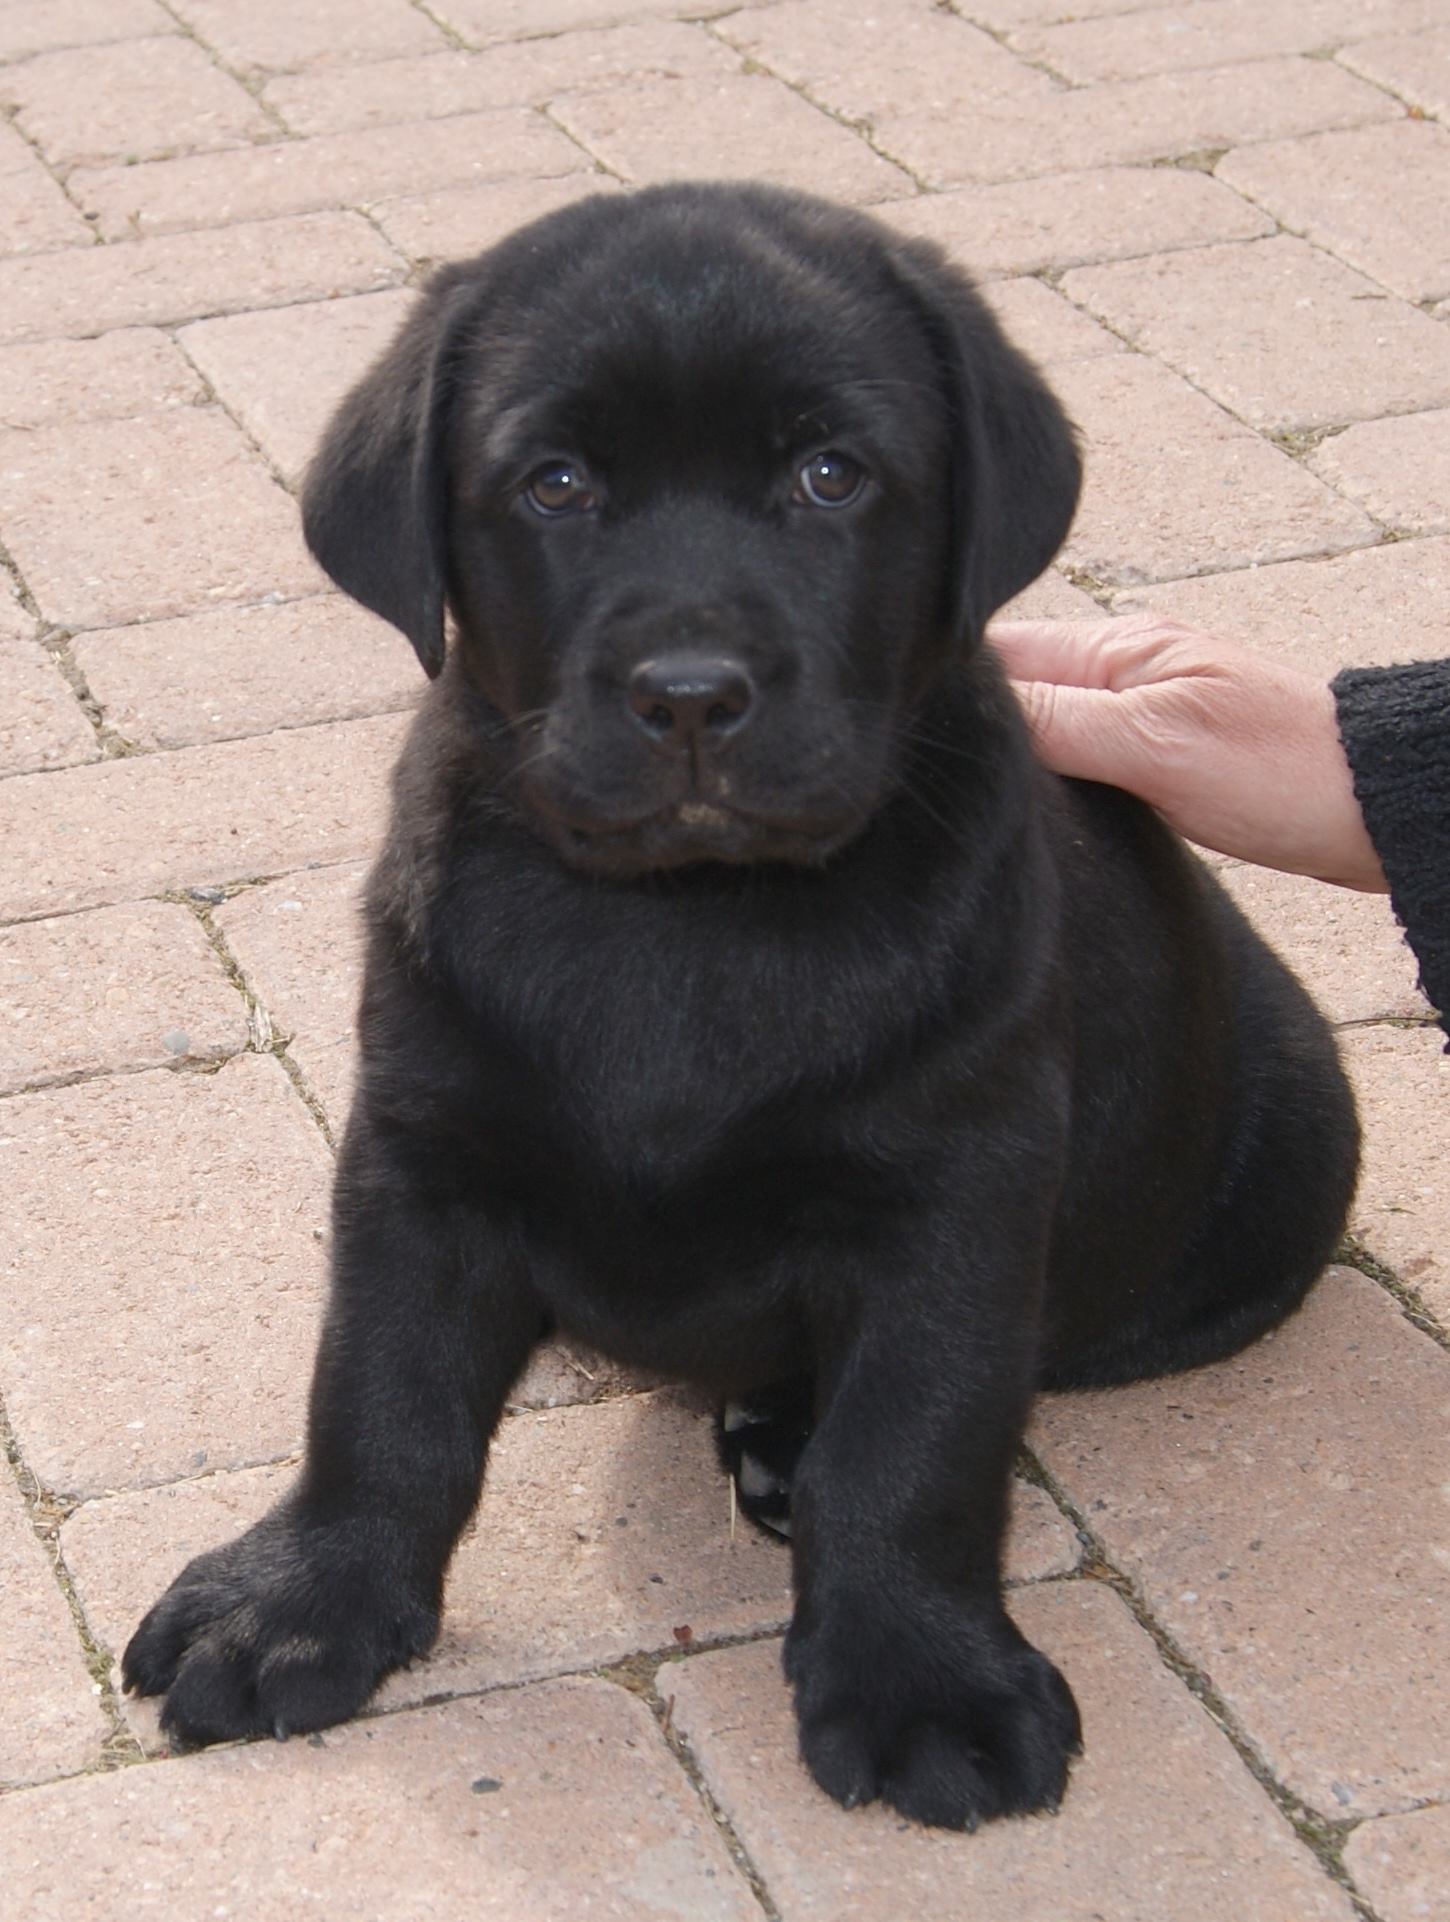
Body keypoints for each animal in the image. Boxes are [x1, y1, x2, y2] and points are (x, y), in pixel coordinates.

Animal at [126, 183, 1353, 1829]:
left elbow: (913, 1441)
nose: (691, 693)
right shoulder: (421, 1153)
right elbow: (377, 1393)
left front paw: (918, 1673)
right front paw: (297, 1598)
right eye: (555, 484)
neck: (691, 915)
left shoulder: (957, 1192)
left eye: (832, 476)